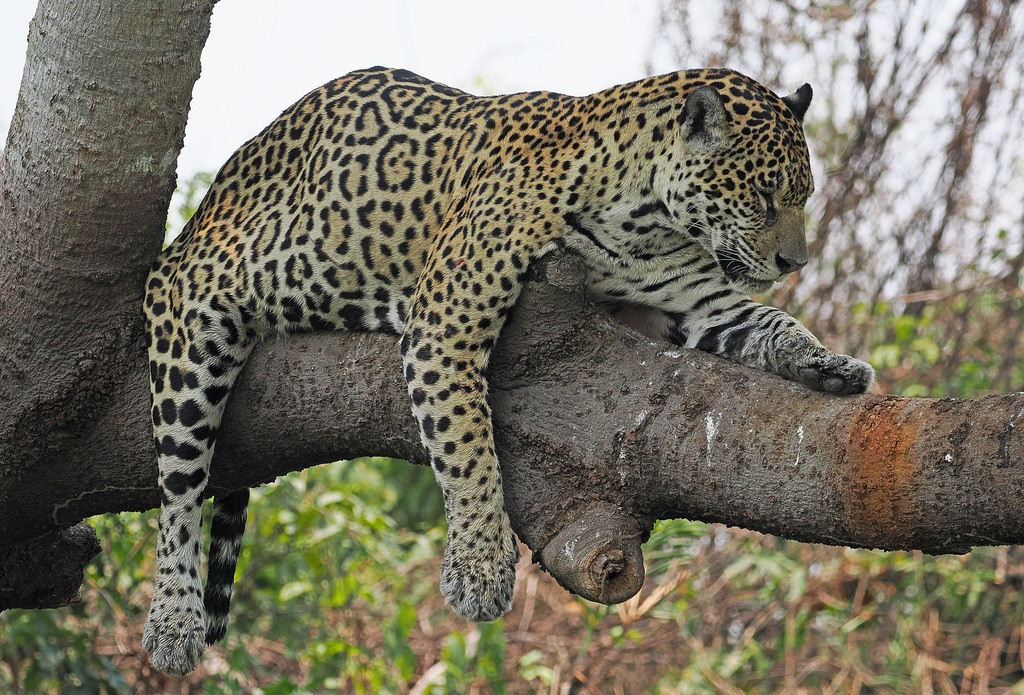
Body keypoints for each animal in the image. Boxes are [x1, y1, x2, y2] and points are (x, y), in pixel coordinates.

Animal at [141, 66, 874, 674]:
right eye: (763, 196)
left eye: (803, 196)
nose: (795, 263)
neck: (645, 220)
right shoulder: (445, 322)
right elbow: (467, 448)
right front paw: (481, 569)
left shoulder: (699, 300)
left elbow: (772, 323)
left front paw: (831, 364)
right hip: (192, 325)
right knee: (177, 492)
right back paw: (172, 624)